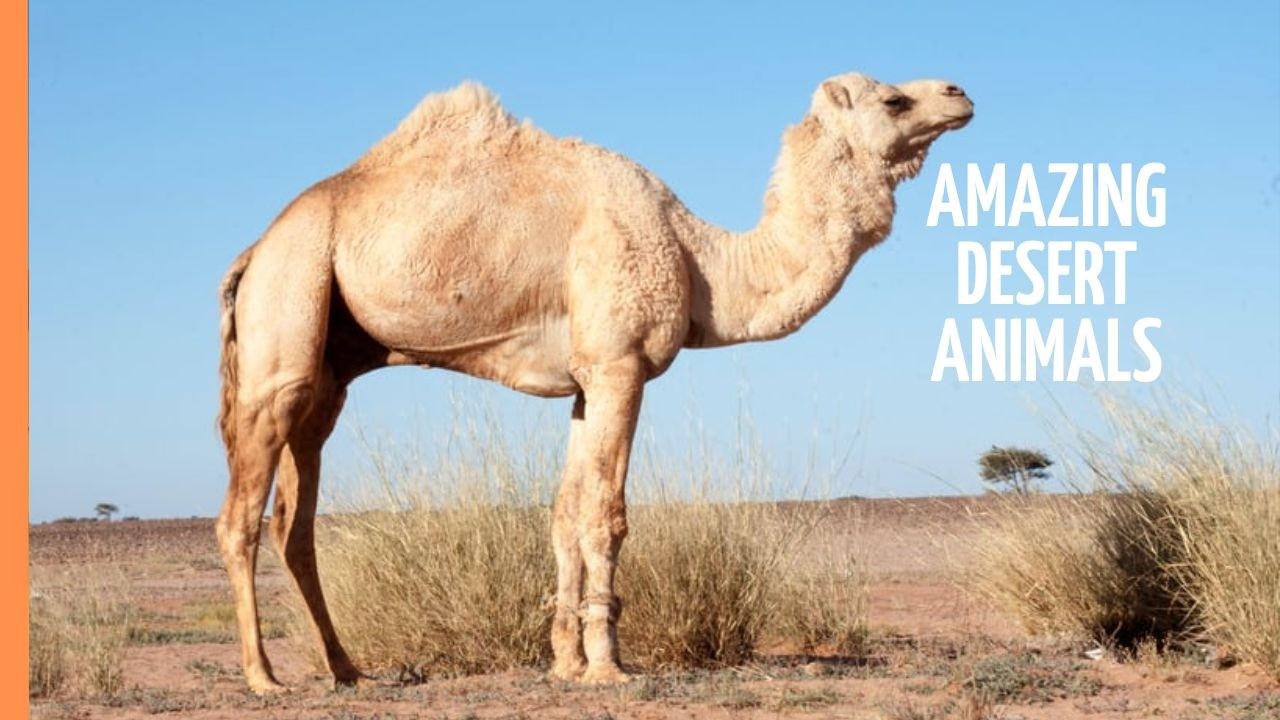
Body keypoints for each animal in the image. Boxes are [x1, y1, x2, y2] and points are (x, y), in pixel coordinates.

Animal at [216, 72, 973, 692]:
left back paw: (346, 670)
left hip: (328, 370)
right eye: (894, 100)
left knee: (294, 520)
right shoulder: (620, 364)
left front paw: (566, 661)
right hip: (287, 311)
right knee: (241, 517)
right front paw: (610, 666)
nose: (959, 94)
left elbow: (565, 514)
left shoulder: (586, 381)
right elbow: (606, 514)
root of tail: (255, 249)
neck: (698, 259)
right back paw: (263, 678)